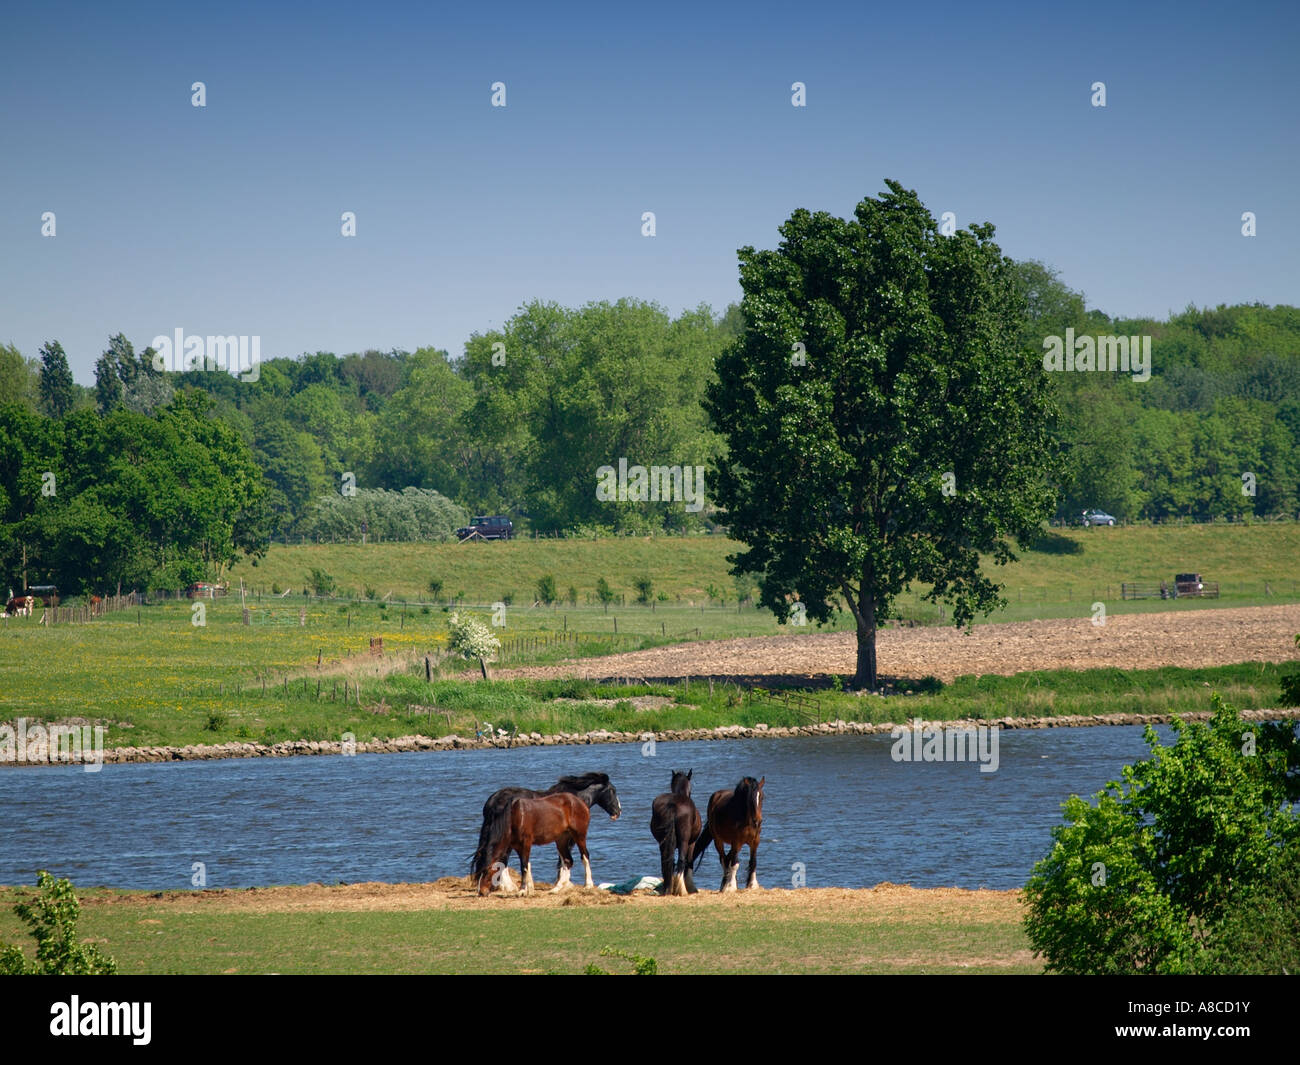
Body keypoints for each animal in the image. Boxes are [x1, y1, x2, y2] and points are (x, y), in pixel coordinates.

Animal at [470, 772, 618, 891]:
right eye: (612, 791)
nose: (618, 812)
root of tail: (491, 801)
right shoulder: (570, 838)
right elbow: (565, 860)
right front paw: (564, 882)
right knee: (503, 858)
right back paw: (510, 886)